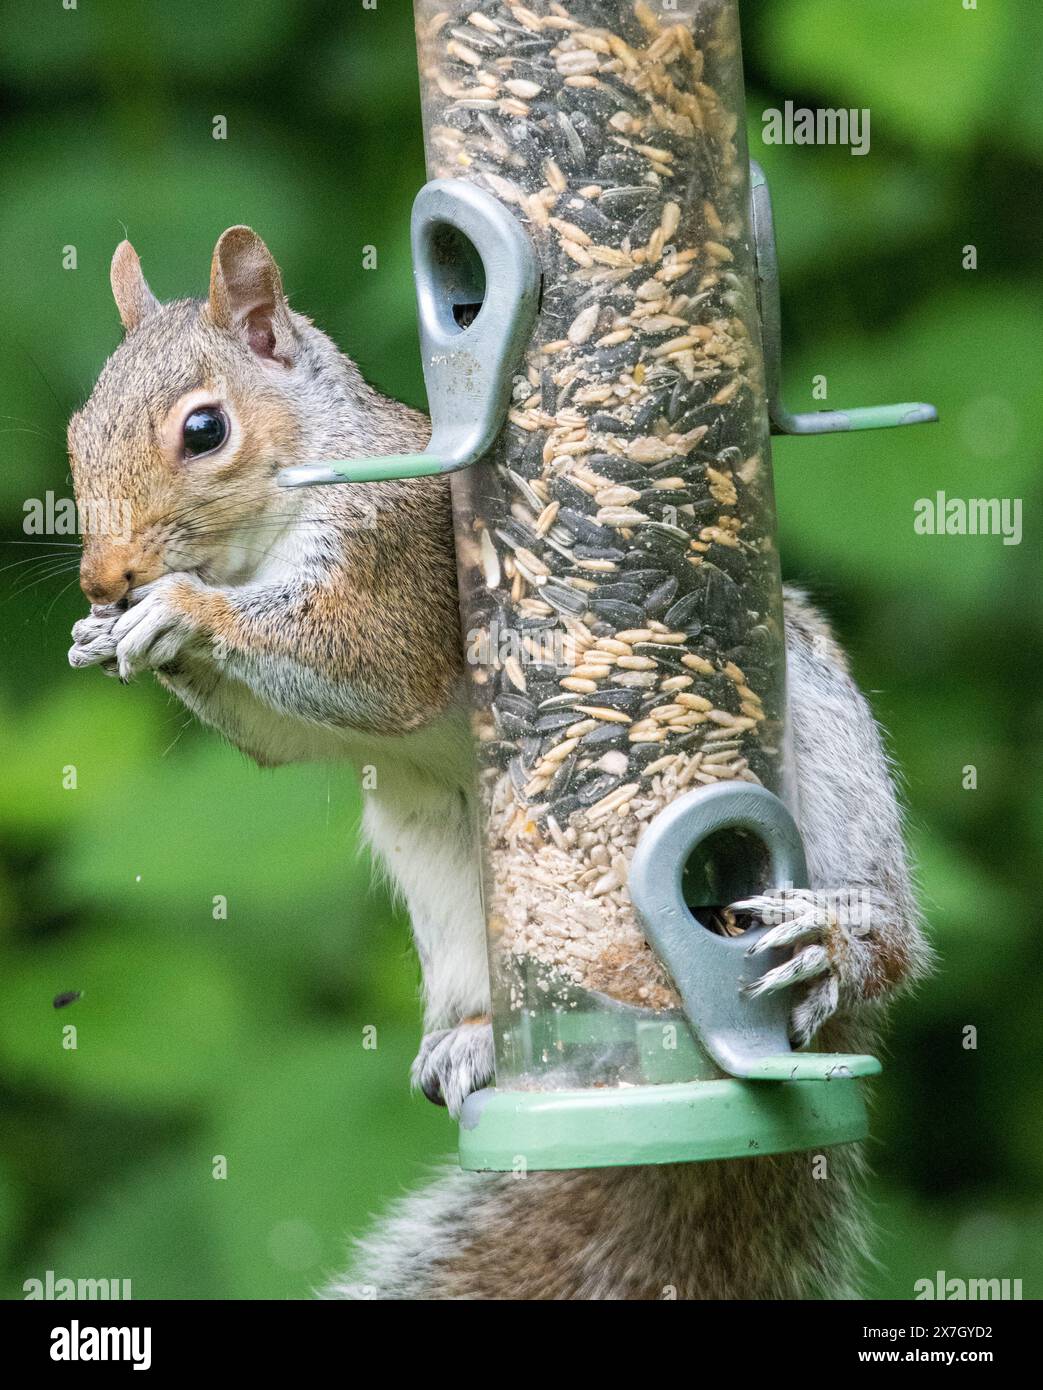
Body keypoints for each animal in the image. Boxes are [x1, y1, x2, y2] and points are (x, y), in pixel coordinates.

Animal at [68, 228, 932, 1300]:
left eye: (203, 430)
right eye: (76, 430)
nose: (102, 578)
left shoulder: (398, 562)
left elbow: (372, 666)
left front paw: (181, 611)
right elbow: (281, 739)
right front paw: (108, 636)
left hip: (829, 763)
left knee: (886, 945)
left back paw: (835, 943)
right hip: (438, 859)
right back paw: (475, 1040)